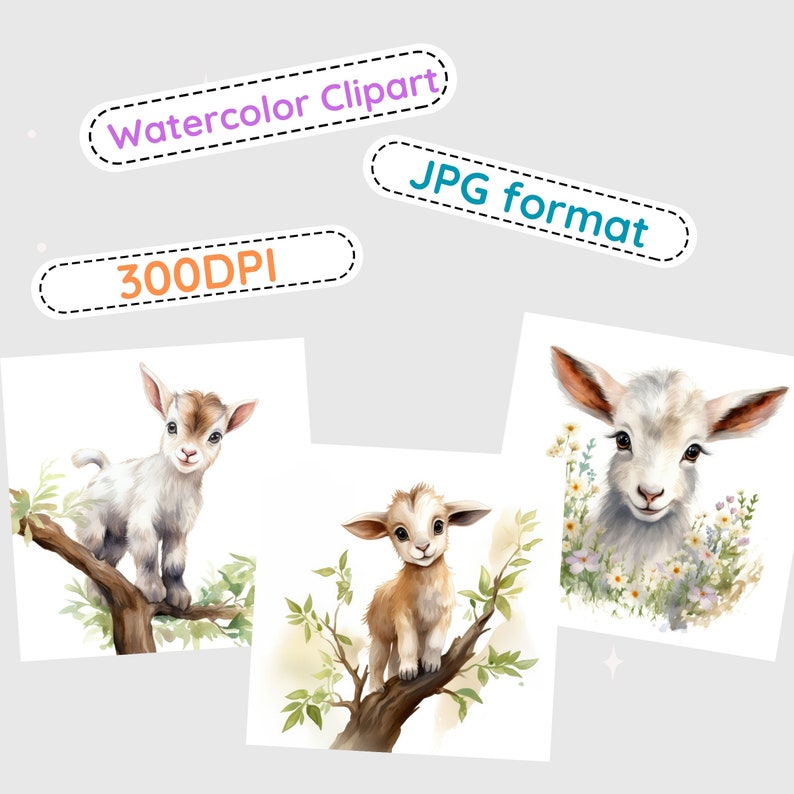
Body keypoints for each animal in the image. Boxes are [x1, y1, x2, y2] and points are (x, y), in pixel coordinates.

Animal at [72, 363, 258, 609]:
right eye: (171, 427)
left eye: (215, 436)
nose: (188, 452)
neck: (175, 485)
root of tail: (104, 469)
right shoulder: (143, 522)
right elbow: (148, 556)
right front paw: (152, 591)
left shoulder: (178, 530)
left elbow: (175, 564)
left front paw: (179, 597)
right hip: (93, 525)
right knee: (90, 558)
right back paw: (96, 598)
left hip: (117, 537)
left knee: (106, 561)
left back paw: (104, 598)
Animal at [343, 483, 491, 691]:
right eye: (401, 533)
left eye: (439, 526)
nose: (423, 547)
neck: (427, 584)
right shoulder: (404, 616)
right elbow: (408, 646)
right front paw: (409, 670)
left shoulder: (443, 614)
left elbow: (435, 643)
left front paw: (431, 664)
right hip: (381, 632)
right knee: (377, 658)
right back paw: (377, 687)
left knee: (394, 657)